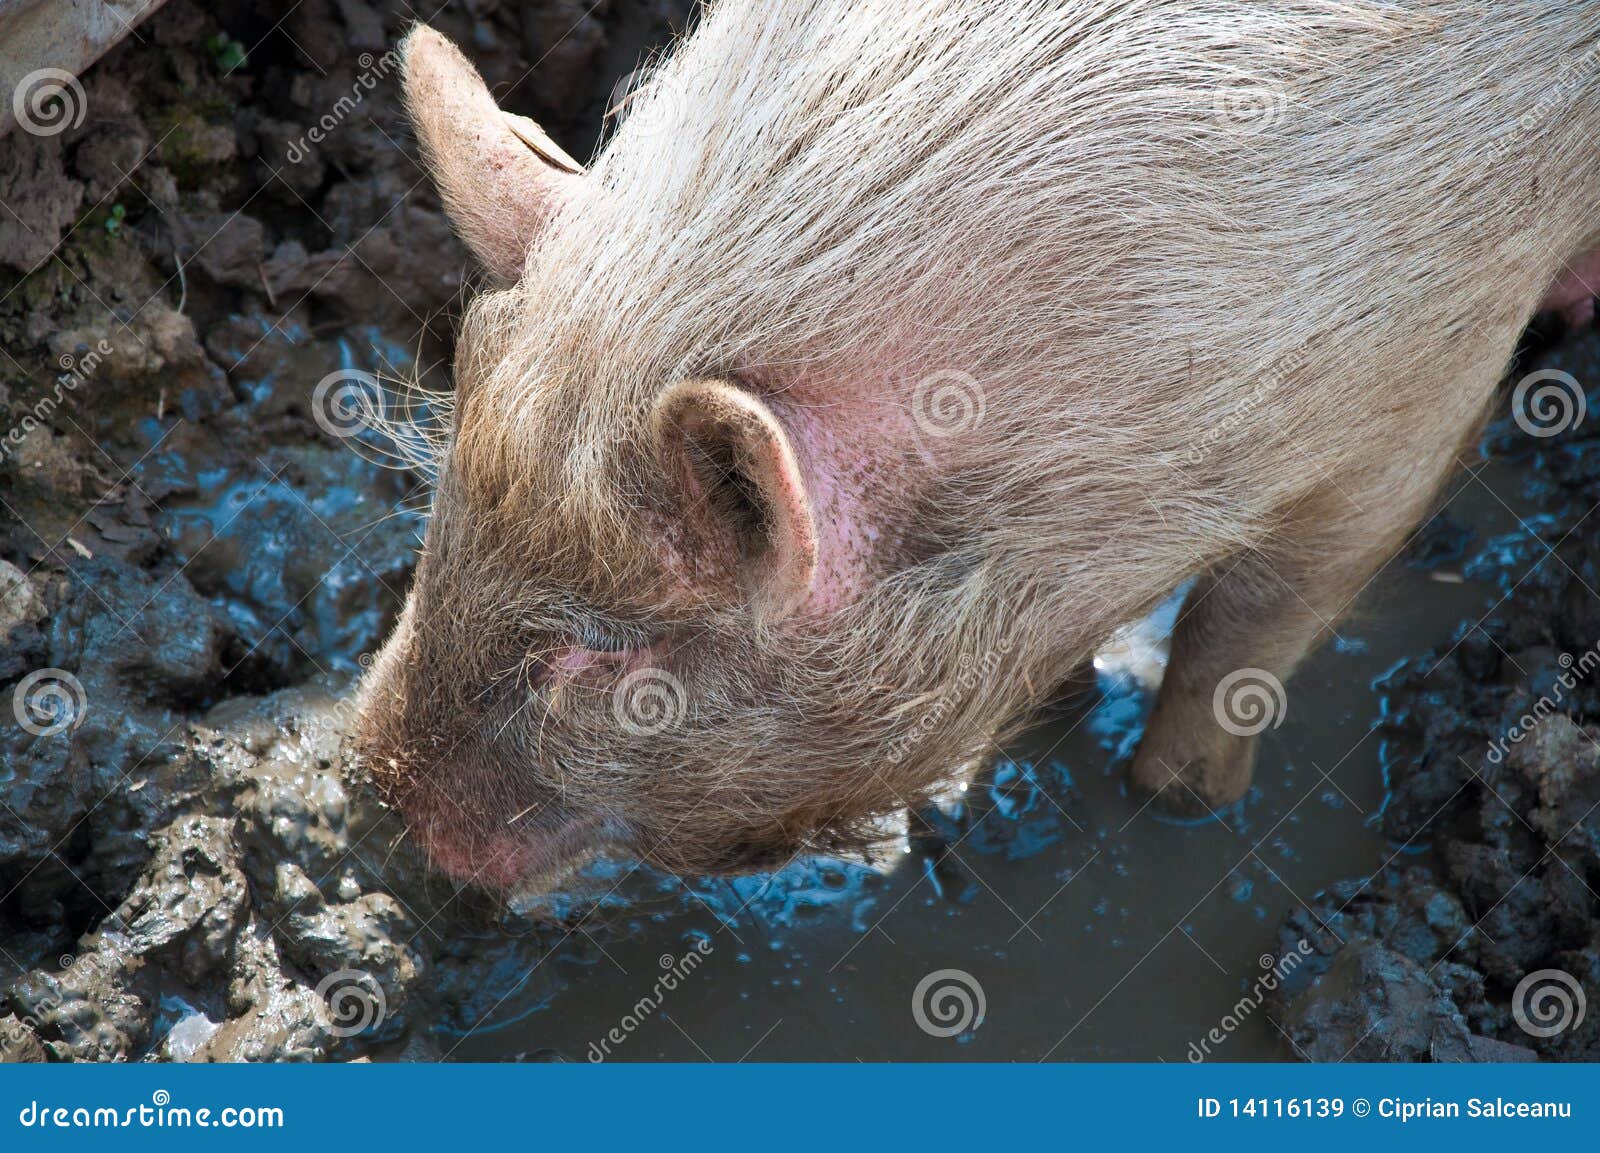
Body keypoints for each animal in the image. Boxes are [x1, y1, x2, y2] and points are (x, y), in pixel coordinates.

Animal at [357, 3, 1600, 890]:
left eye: (597, 659)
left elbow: (1242, 639)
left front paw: (1175, 807)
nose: (374, 786)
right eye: (439, 514)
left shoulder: (1420, 391)